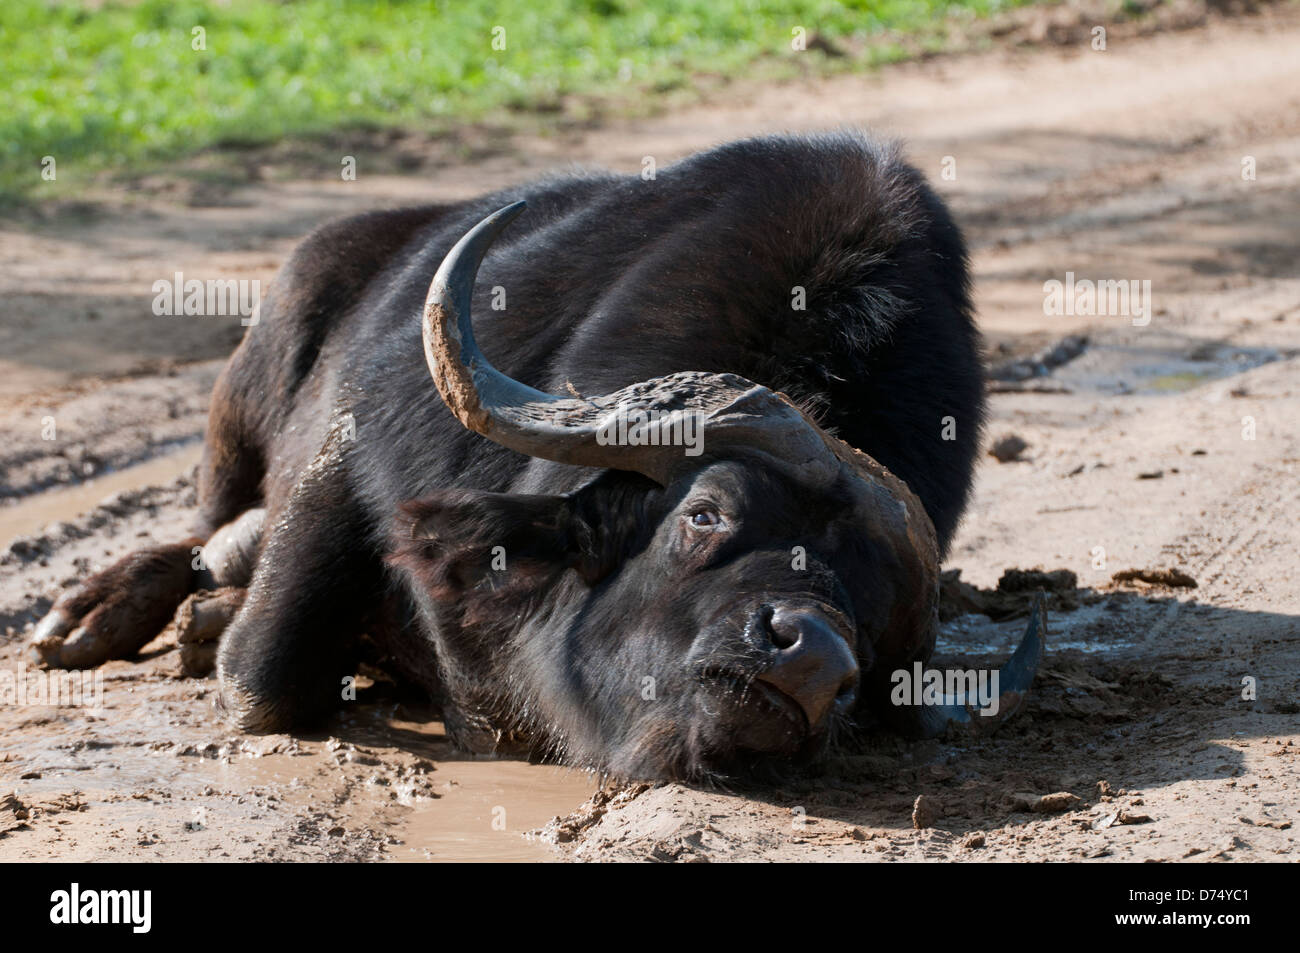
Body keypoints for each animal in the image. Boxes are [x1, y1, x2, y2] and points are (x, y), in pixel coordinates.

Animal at [31, 132, 1042, 780]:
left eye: (873, 625)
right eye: (705, 513)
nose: (810, 659)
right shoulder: (350, 456)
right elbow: (262, 682)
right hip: (255, 372)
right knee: (207, 523)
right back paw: (94, 612)